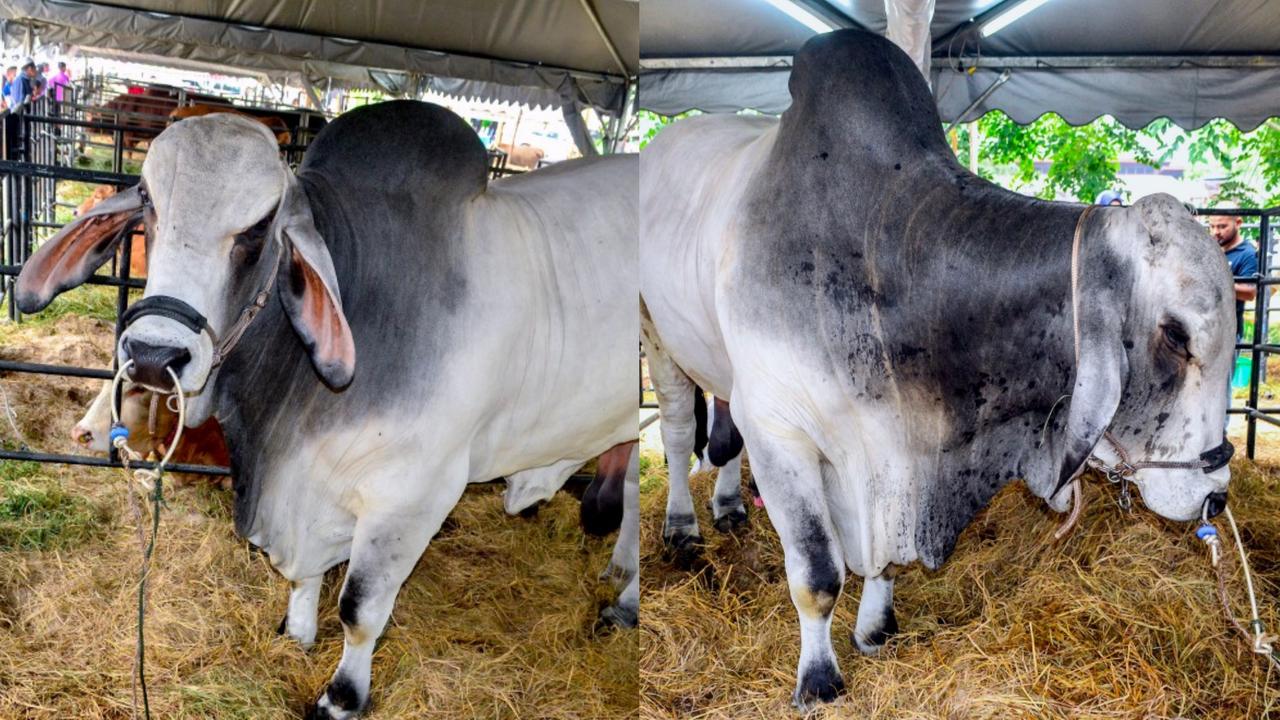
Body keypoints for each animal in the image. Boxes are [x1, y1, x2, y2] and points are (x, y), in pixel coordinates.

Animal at [640, 29, 1235, 708]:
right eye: (1177, 335)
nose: (1216, 496)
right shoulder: (781, 429)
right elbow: (818, 573)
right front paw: (818, 680)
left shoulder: (880, 453)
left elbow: (879, 562)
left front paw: (876, 628)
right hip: (656, 337)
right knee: (679, 433)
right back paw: (682, 526)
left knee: (722, 439)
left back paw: (729, 506)